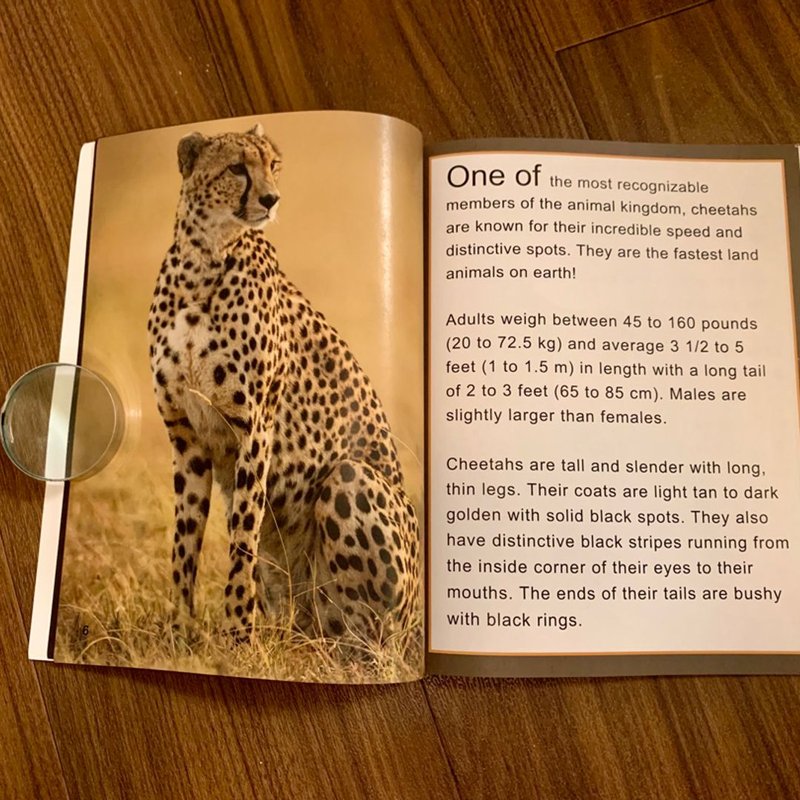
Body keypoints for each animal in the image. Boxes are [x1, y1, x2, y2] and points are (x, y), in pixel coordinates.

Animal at [146, 124, 420, 654]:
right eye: (237, 168)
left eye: (274, 164)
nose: (272, 199)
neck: (203, 260)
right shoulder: (187, 437)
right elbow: (183, 544)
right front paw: (177, 634)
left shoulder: (254, 427)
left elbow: (241, 539)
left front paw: (237, 635)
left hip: (350, 479)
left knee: (369, 637)